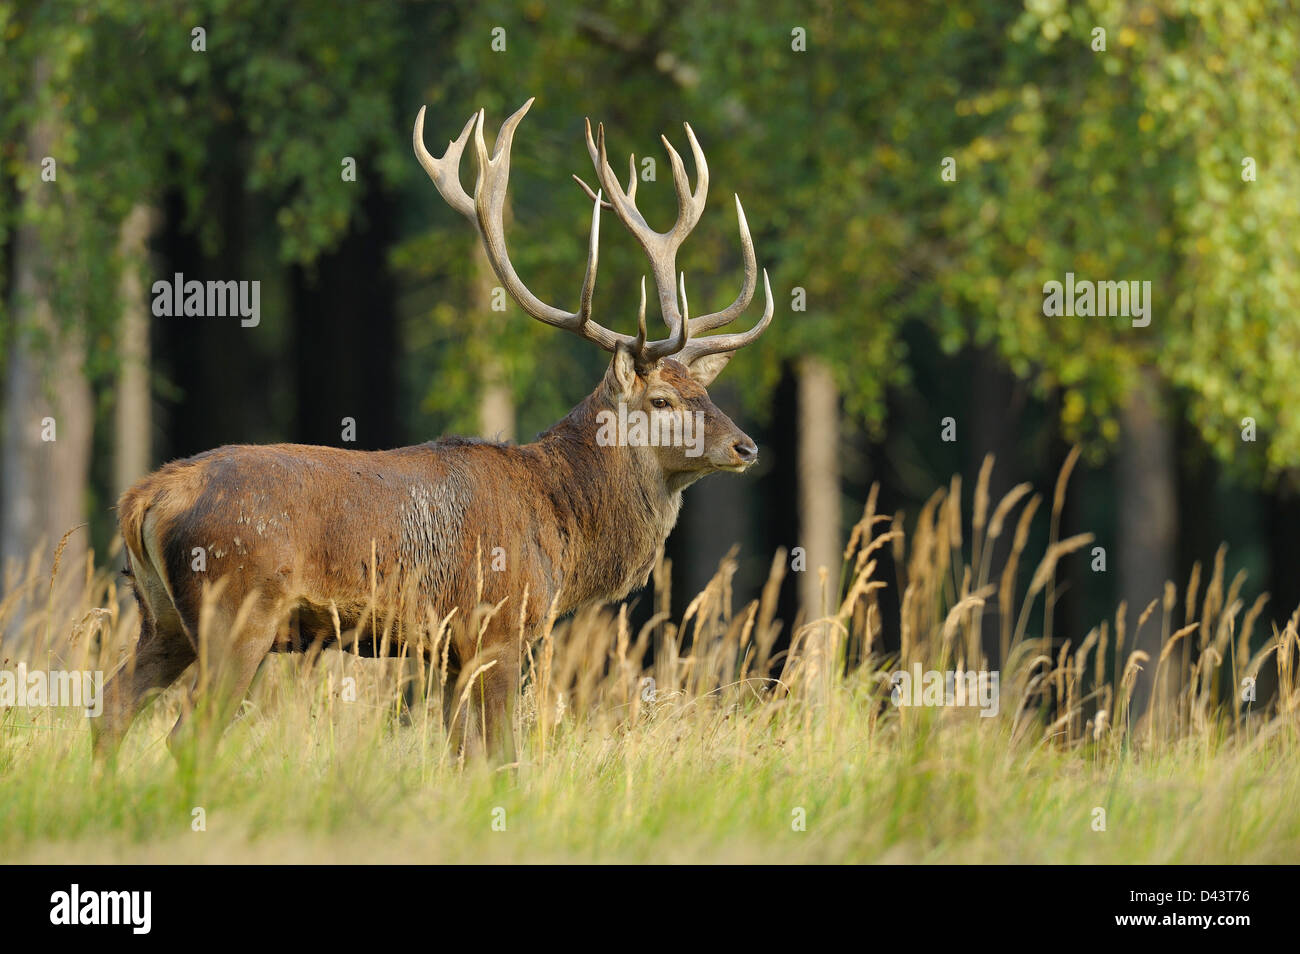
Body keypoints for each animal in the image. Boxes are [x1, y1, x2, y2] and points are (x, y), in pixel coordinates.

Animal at [93, 97, 774, 762]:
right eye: (662, 399)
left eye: (705, 392)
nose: (746, 445)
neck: (562, 527)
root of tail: (144, 498)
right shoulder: (497, 625)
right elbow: (501, 754)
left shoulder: (448, 650)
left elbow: (459, 753)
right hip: (237, 609)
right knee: (188, 733)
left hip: (160, 617)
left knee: (109, 711)